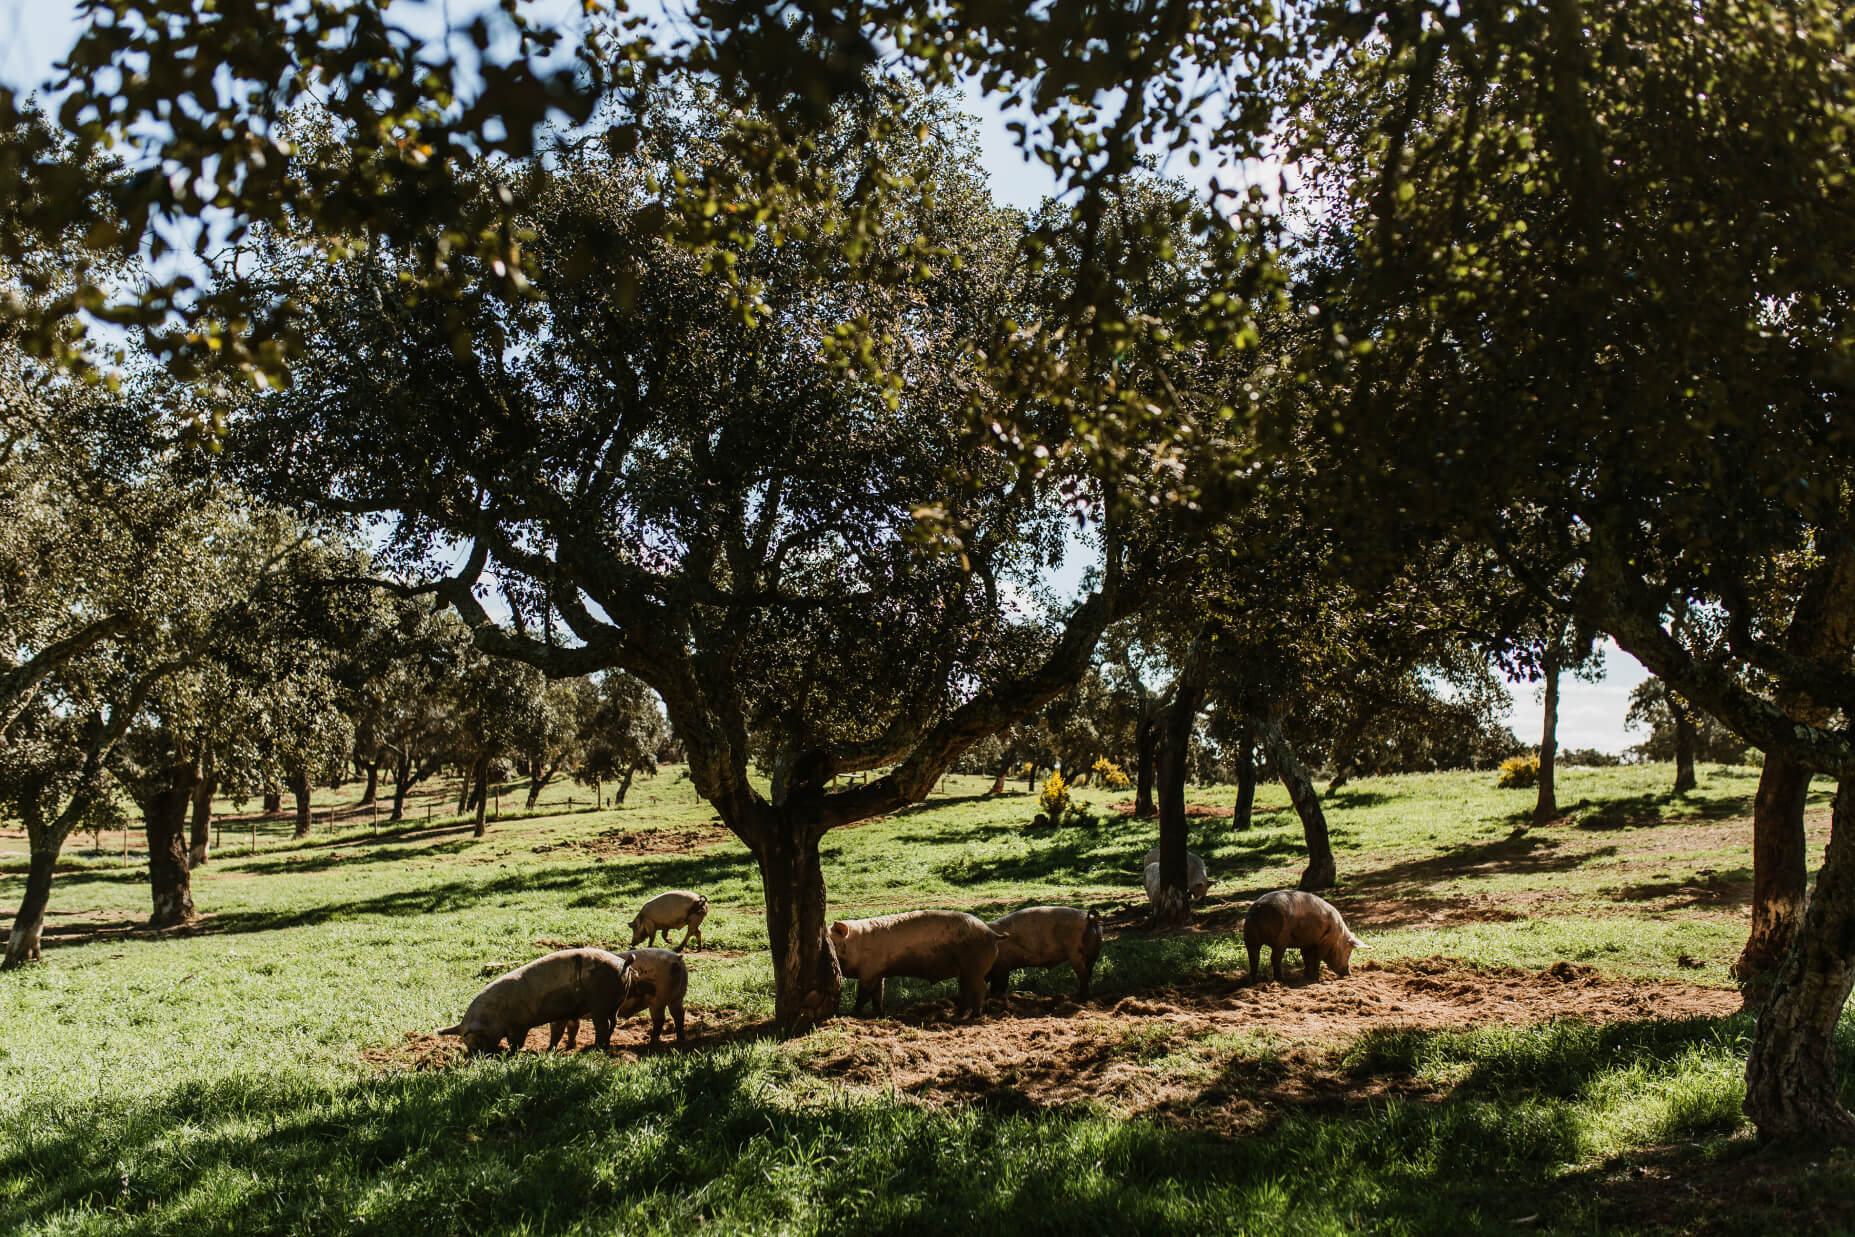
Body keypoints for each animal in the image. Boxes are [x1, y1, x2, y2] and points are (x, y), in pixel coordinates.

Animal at [436, 947, 632, 1055]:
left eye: (473, 1039)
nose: (473, 1056)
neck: (492, 1016)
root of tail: (624, 964)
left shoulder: (518, 1026)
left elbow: (517, 1042)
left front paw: (513, 1054)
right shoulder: (563, 1013)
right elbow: (563, 1029)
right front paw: (555, 1049)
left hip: (600, 1003)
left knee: (602, 1026)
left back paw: (595, 1048)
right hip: (615, 1004)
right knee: (613, 1023)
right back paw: (602, 1046)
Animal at [550, 946, 689, 1048]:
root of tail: (677, 959)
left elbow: (559, 1029)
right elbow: (573, 1028)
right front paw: (570, 1046)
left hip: (658, 999)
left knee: (660, 1019)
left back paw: (652, 1043)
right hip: (678, 997)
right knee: (679, 1014)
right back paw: (680, 1039)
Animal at [828, 910, 1004, 1020]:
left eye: (832, 943)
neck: (857, 944)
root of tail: (993, 934)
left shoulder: (869, 972)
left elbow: (863, 995)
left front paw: (853, 1014)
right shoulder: (877, 973)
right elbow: (878, 995)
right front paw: (879, 1013)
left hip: (975, 967)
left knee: (980, 988)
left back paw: (974, 1015)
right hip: (965, 971)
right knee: (966, 990)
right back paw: (957, 1015)